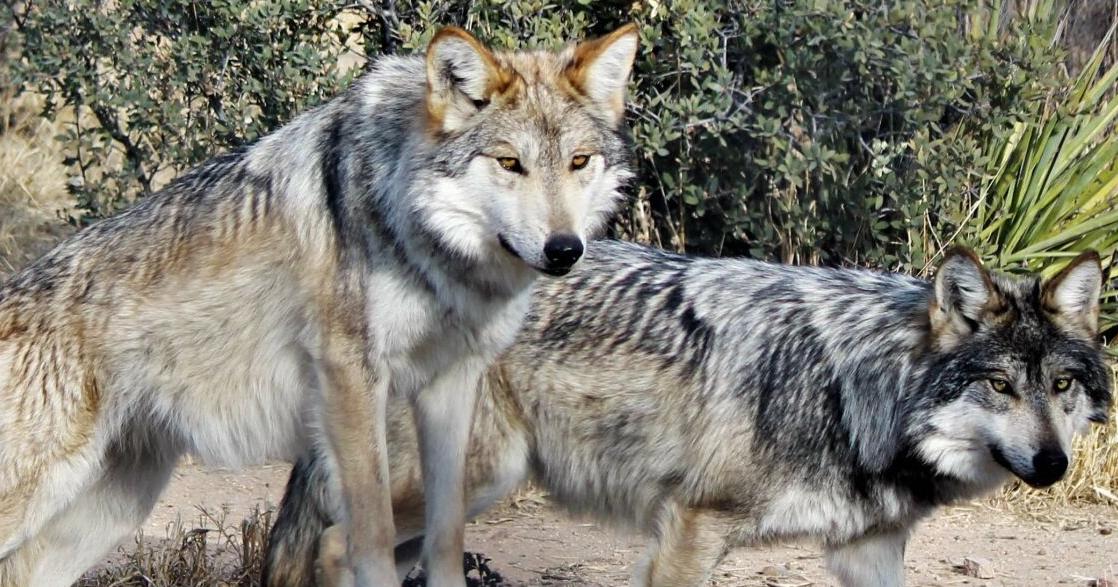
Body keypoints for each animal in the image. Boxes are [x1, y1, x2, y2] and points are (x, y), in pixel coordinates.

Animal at [0, 26, 639, 586]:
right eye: (510, 163)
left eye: (579, 161)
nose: (564, 249)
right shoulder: (350, 378)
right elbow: (370, 536)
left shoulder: (451, 384)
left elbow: (446, 536)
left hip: (114, 506)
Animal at [263, 240, 1112, 587]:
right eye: (999, 385)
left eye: (1061, 386)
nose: (1053, 464)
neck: (858, 387)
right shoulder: (693, 526)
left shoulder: (866, 551)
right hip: (479, 476)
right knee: (336, 546)